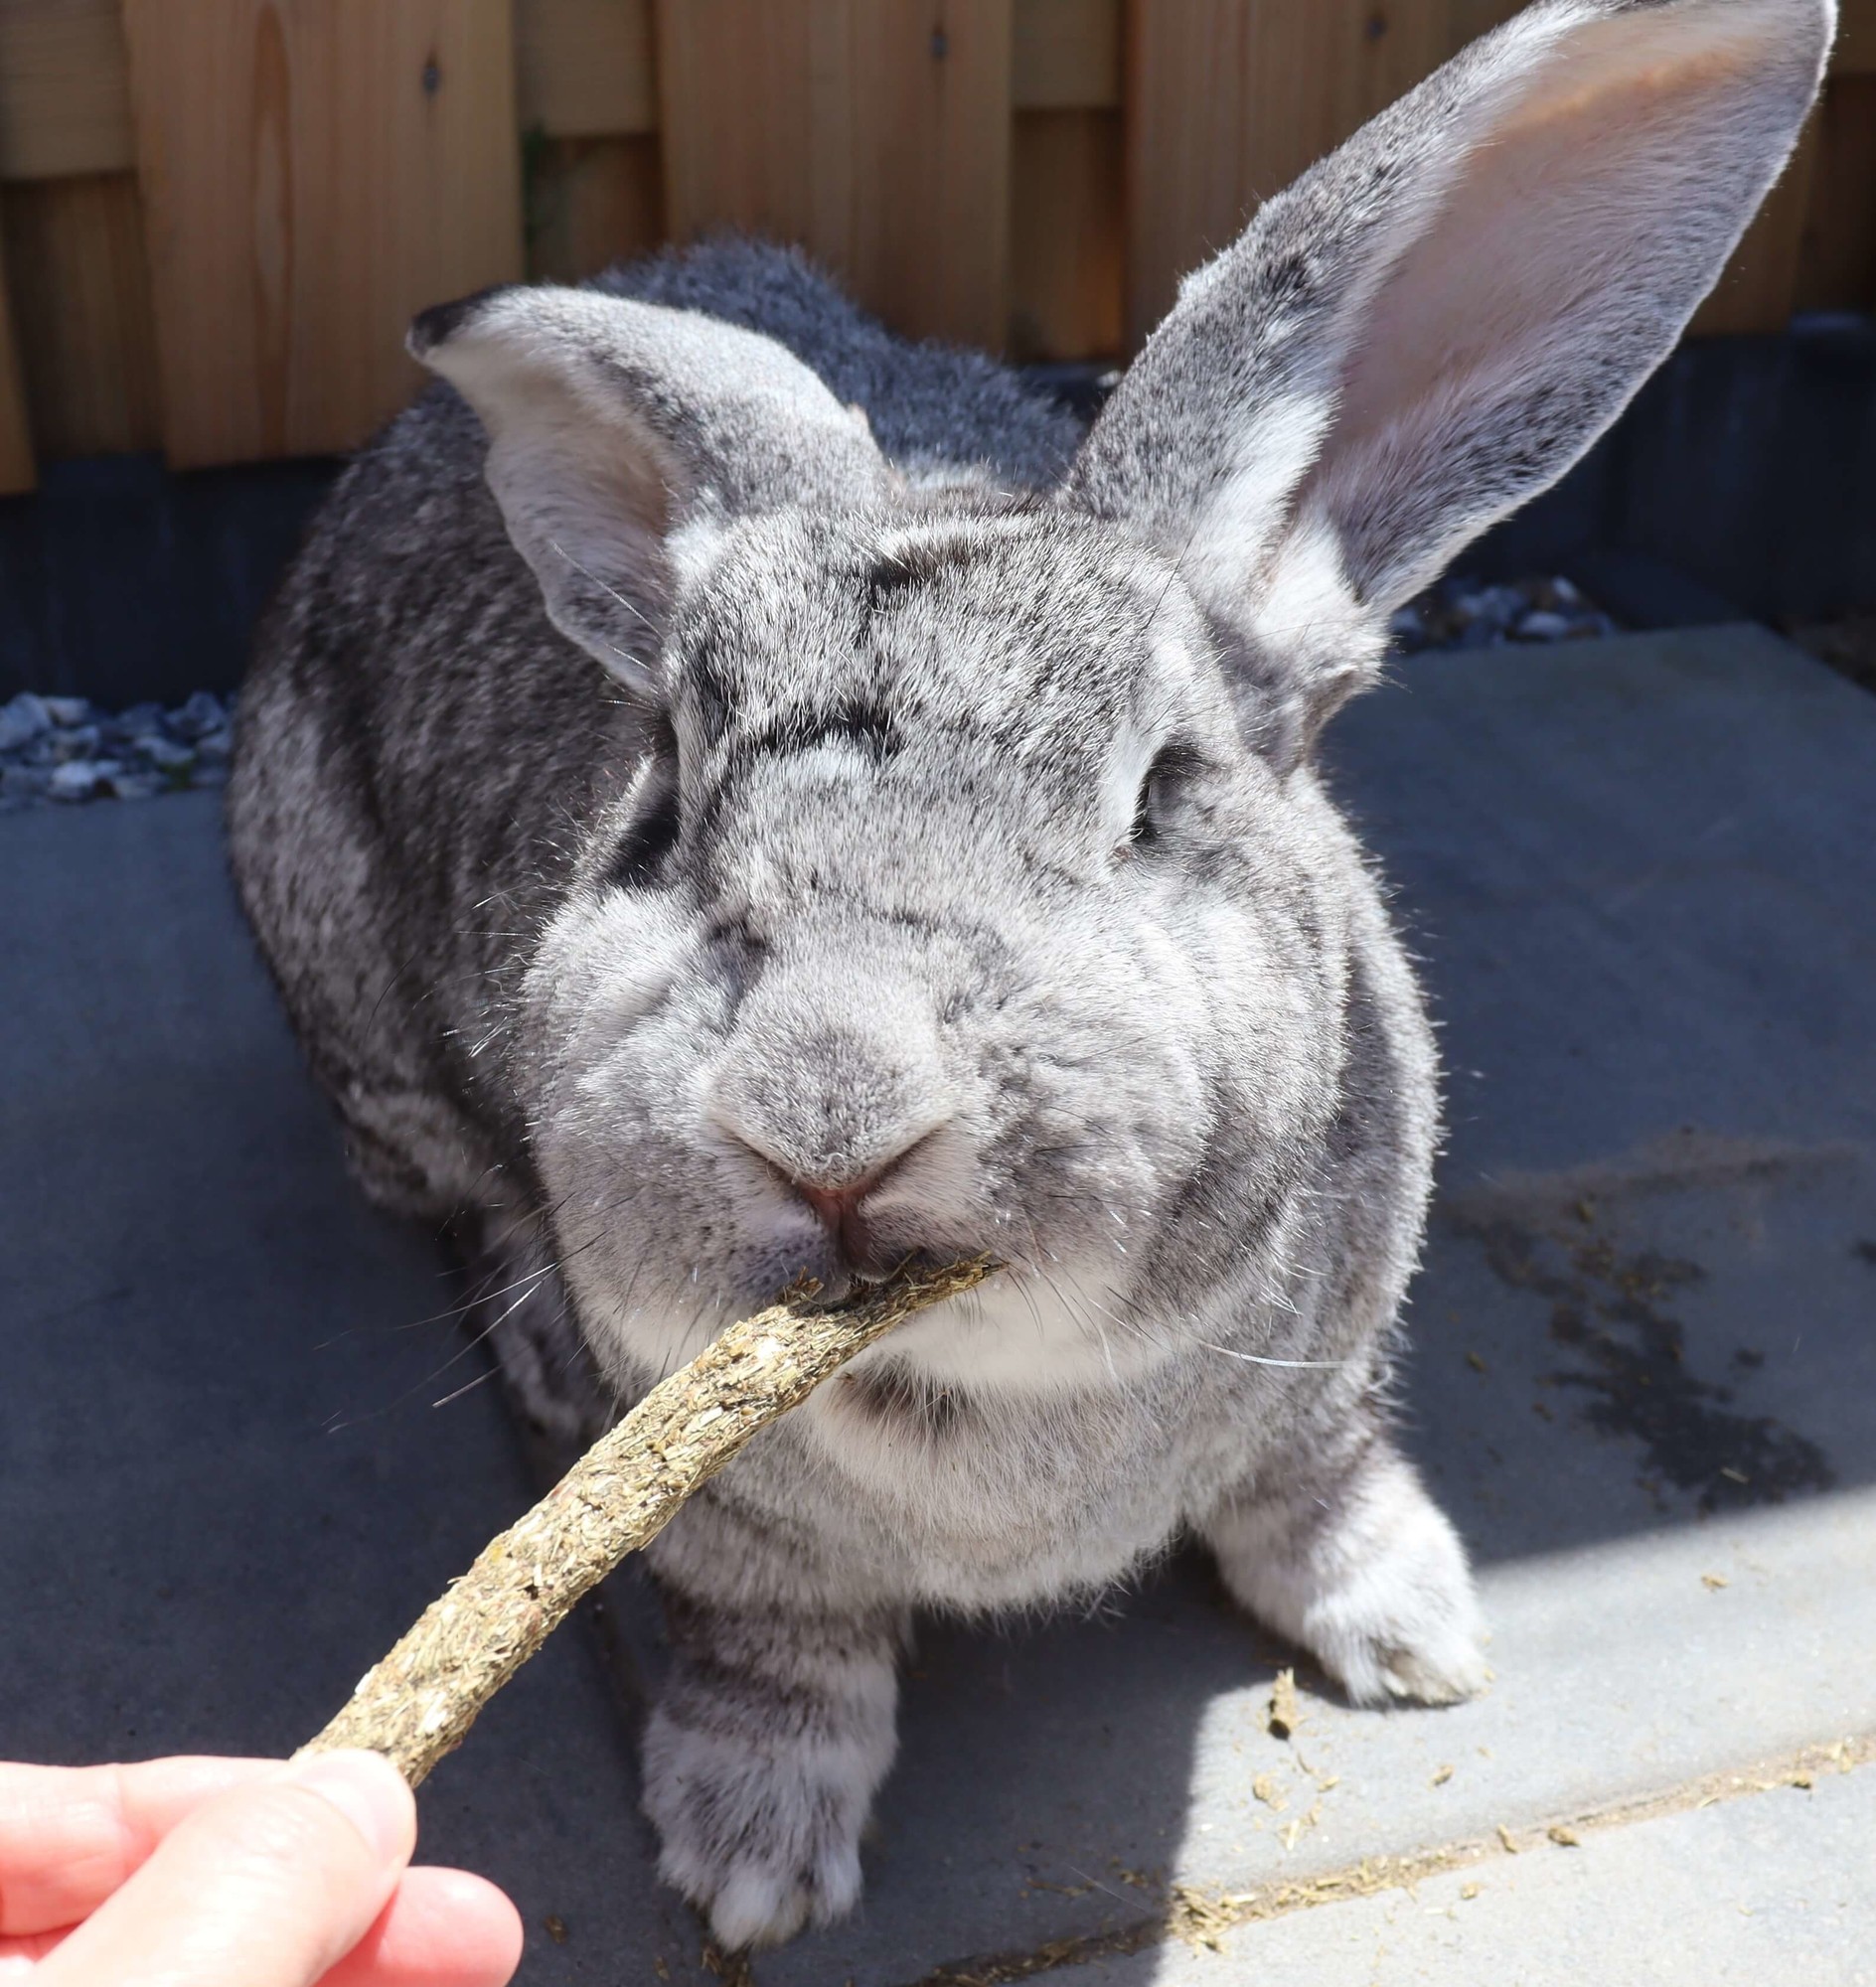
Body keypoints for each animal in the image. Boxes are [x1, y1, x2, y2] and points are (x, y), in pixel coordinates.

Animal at [228, 0, 1831, 1950]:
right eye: (664, 799)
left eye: (1156, 795)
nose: (826, 1107)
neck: (987, 1379)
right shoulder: (730, 1535)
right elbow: (775, 1645)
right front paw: (751, 1859)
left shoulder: (1335, 1362)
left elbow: (1316, 1480)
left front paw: (1419, 1636)